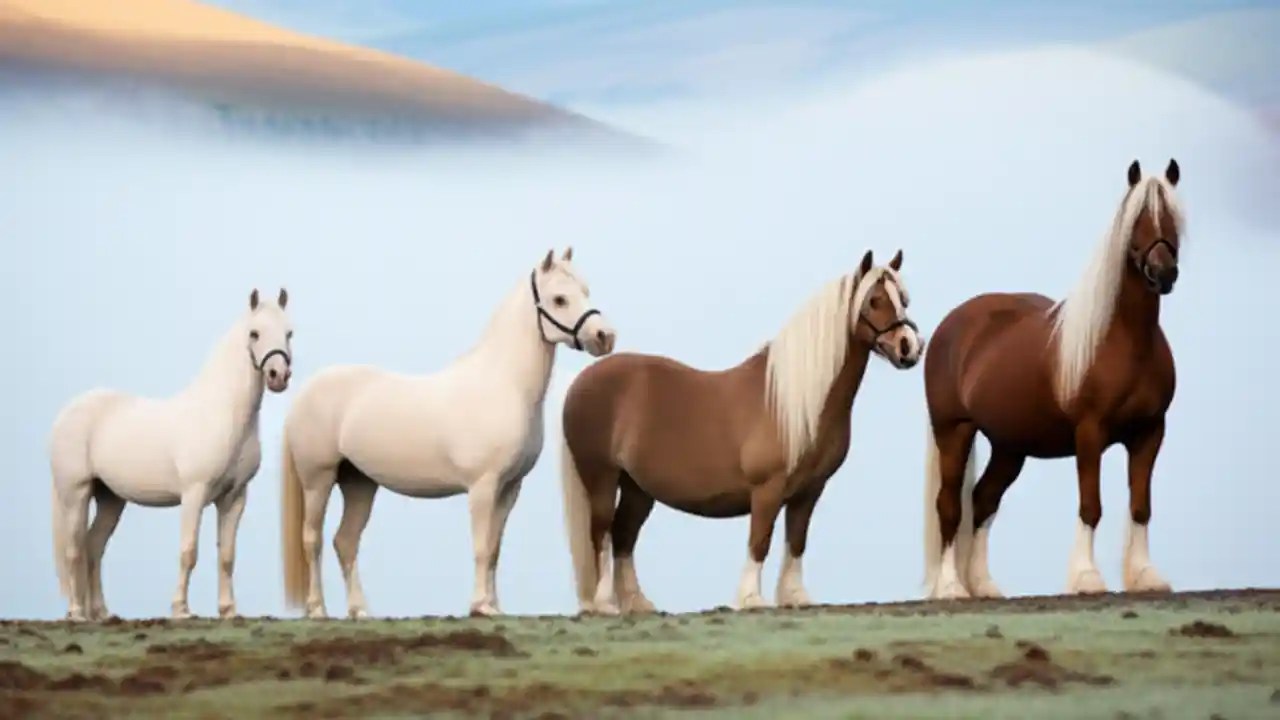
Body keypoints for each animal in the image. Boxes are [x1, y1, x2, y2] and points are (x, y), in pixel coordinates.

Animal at [50, 288, 294, 621]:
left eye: (289, 333)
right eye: (254, 333)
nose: (278, 375)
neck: (223, 413)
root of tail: (66, 414)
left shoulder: (234, 497)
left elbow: (227, 555)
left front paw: (228, 610)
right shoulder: (194, 493)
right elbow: (188, 551)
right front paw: (181, 610)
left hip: (110, 498)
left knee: (93, 546)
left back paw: (102, 613)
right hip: (76, 494)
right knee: (74, 550)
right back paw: (76, 613)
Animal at [280, 248, 616, 619]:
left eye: (585, 290)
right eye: (559, 299)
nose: (604, 337)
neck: (503, 383)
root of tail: (306, 392)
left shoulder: (509, 488)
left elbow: (494, 548)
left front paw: (495, 606)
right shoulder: (482, 486)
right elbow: (481, 546)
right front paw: (479, 606)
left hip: (358, 482)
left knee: (345, 541)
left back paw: (360, 611)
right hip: (318, 479)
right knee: (313, 539)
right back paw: (317, 610)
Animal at [560, 250, 924, 615]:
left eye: (903, 299)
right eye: (874, 300)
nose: (909, 347)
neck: (793, 400)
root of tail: (581, 382)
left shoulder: (810, 490)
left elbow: (796, 541)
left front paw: (796, 596)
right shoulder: (767, 489)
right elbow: (760, 540)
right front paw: (750, 599)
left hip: (637, 488)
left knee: (624, 536)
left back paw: (638, 603)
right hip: (602, 476)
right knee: (602, 533)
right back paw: (604, 603)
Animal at [921, 159, 1184, 600]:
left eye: (1173, 216)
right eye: (1137, 219)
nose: (1163, 273)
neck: (1125, 340)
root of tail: (950, 324)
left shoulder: (1150, 432)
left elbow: (1141, 505)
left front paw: (1147, 576)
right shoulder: (1090, 433)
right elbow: (1090, 505)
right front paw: (1087, 578)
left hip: (1009, 446)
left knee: (983, 500)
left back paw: (984, 585)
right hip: (954, 431)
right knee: (950, 506)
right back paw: (952, 587)